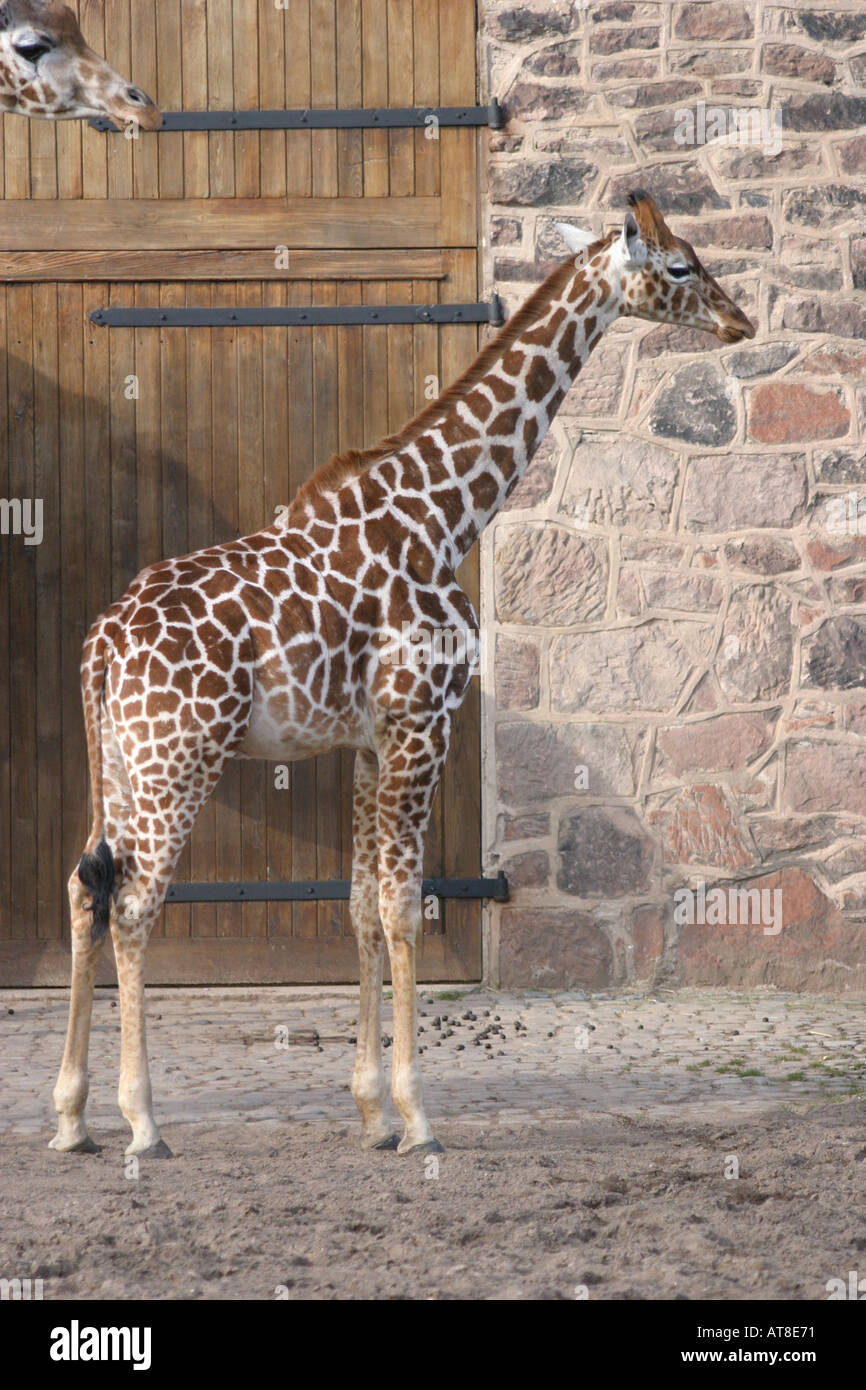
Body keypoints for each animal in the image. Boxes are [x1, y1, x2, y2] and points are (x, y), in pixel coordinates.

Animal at [50, 192, 754, 1160]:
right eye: (680, 266)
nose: (740, 321)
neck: (444, 515)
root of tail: (100, 643)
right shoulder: (425, 723)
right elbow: (401, 906)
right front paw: (418, 1116)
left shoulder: (370, 740)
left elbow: (358, 910)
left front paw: (370, 1112)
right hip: (177, 762)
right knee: (131, 906)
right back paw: (142, 1122)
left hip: (119, 761)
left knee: (84, 889)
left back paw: (70, 1117)